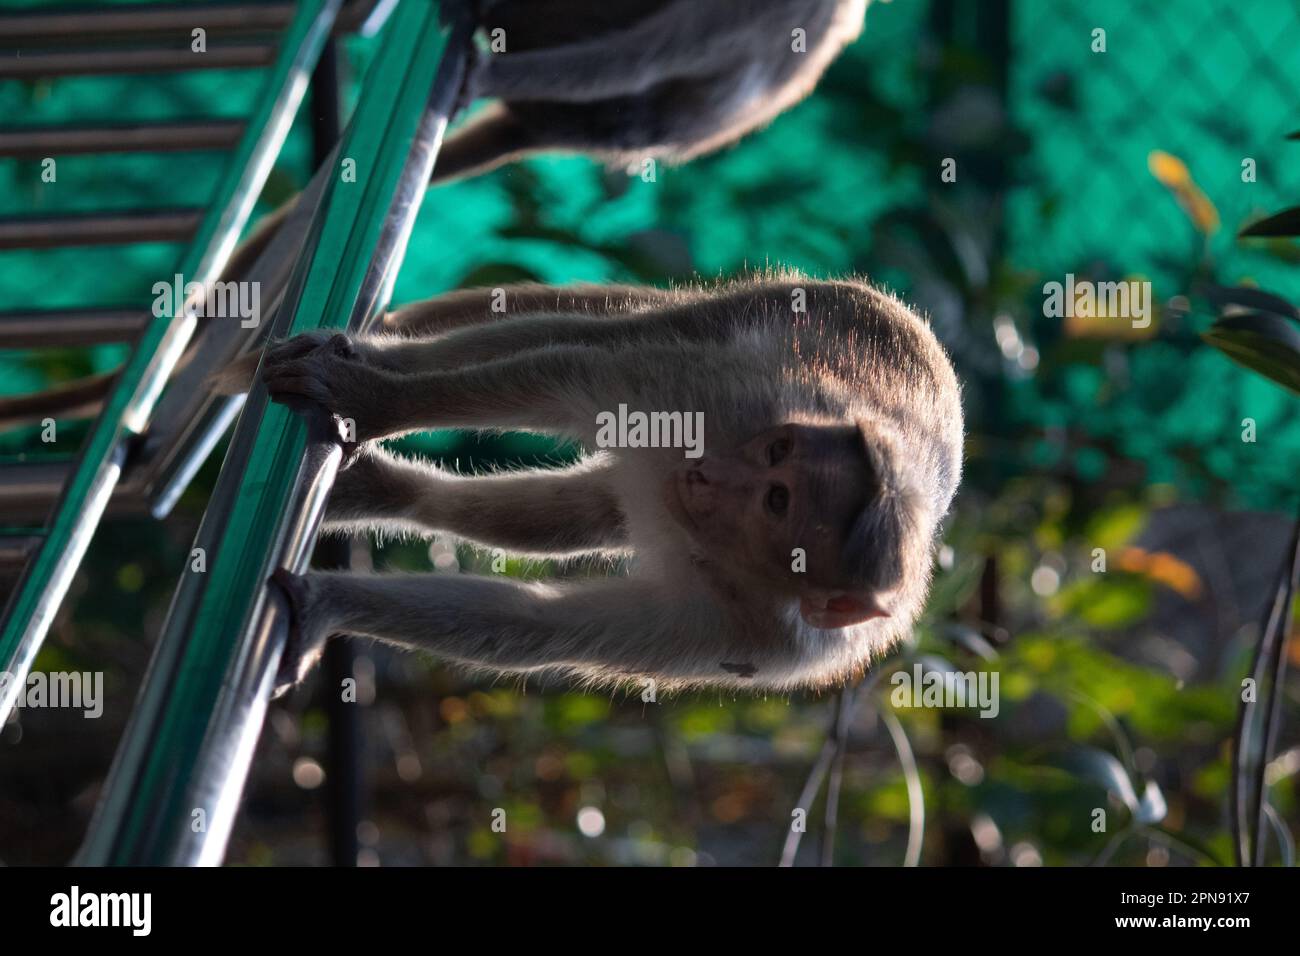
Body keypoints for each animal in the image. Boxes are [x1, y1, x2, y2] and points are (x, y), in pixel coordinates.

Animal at [215, 273, 963, 695]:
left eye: (778, 499)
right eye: (777, 450)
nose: (712, 471)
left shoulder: (762, 641)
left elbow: (537, 624)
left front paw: (325, 605)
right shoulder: (734, 400)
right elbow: (578, 375)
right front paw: (371, 401)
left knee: (583, 510)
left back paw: (394, 495)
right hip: (789, 313)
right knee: (604, 334)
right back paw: (372, 364)